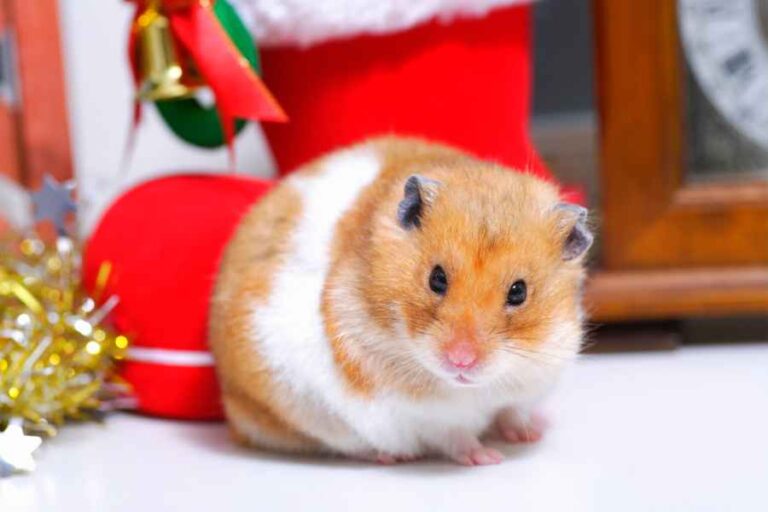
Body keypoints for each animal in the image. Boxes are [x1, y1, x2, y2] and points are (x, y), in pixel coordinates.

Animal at [209, 136, 593, 466]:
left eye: (519, 292)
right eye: (436, 278)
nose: (461, 360)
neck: (477, 388)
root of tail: (233, 414)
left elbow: (512, 411)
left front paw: (530, 433)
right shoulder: (420, 416)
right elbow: (455, 437)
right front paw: (487, 458)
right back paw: (389, 456)